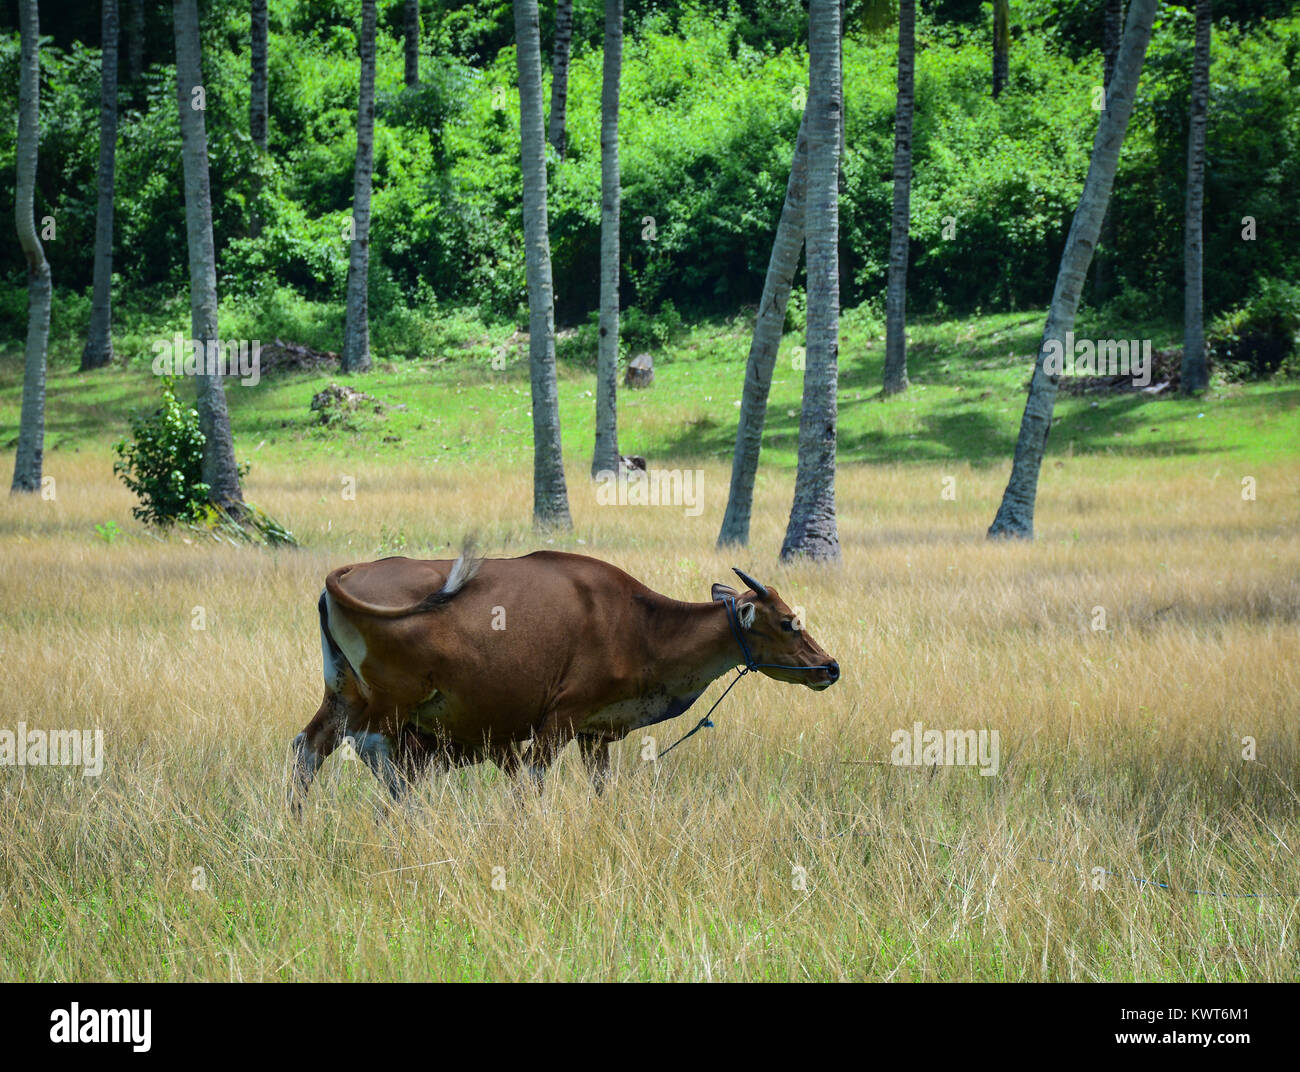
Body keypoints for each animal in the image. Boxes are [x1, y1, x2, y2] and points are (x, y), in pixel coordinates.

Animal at [289, 547, 838, 809]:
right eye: (787, 622)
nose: (829, 667)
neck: (638, 624)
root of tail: (348, 574)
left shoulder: (595, 733)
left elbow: (599, 788)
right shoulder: (558, 720)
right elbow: (531, 787)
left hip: (342, 697)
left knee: (307, 748)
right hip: (389, 707)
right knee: (383, 764)